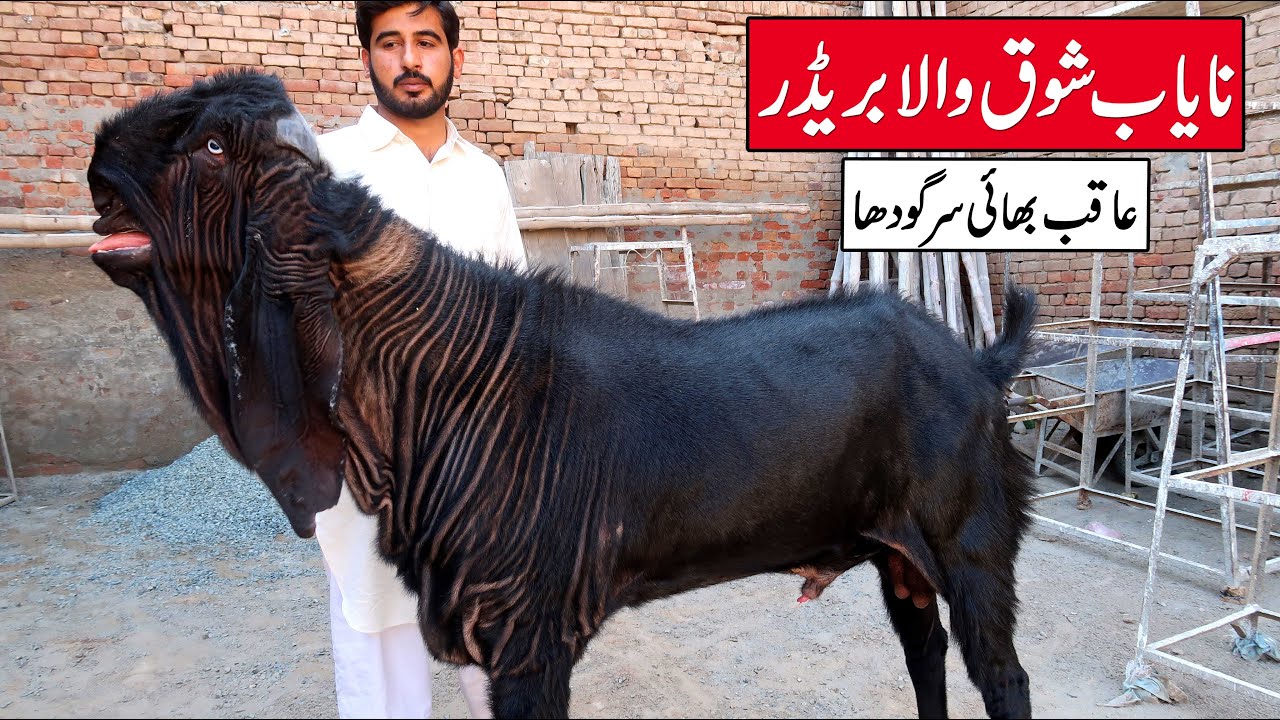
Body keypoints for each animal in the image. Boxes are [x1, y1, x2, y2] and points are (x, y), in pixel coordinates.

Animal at [87, 70, 1037, 719]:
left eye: (211, 147)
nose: (98, 159)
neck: (431, 378)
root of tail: (974, 361)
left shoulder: (528, 636)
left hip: (972, 546)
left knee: (1001, 673)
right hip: (900, 559)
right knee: (926, 653)